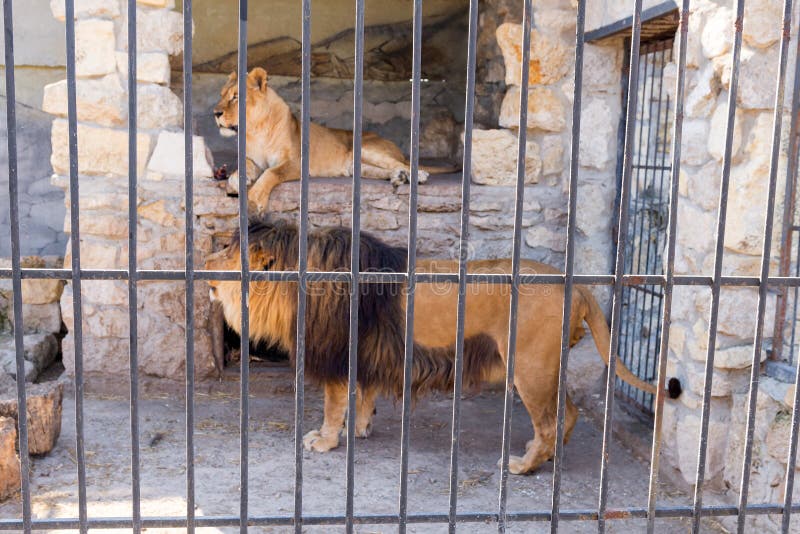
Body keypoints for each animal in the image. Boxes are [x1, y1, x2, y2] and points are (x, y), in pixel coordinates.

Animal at [205, 219, 682, 475]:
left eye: (226, 249)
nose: (202, 260)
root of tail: (578, 287)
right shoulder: (365, 354)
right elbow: (363, 395)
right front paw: (361, 428)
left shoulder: (340, 355)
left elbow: (334, 403)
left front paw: (325, 440)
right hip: (544, 369)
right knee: (568, 413)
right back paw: (544, 458)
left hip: (528, 367)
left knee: (551, 421)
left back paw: (524, 466)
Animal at [213, 68, 458, 212]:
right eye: (222, 95)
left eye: (236, 97)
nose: (215, 113)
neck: (257, 130)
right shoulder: (254, 160)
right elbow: (244, 166)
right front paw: (235, 180)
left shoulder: (295, 163)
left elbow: (272, 173)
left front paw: (254, 197)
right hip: (355, 166)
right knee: (383, 170)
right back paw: (398, 177)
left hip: (366, 149)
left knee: (402, 163)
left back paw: (417, 175)